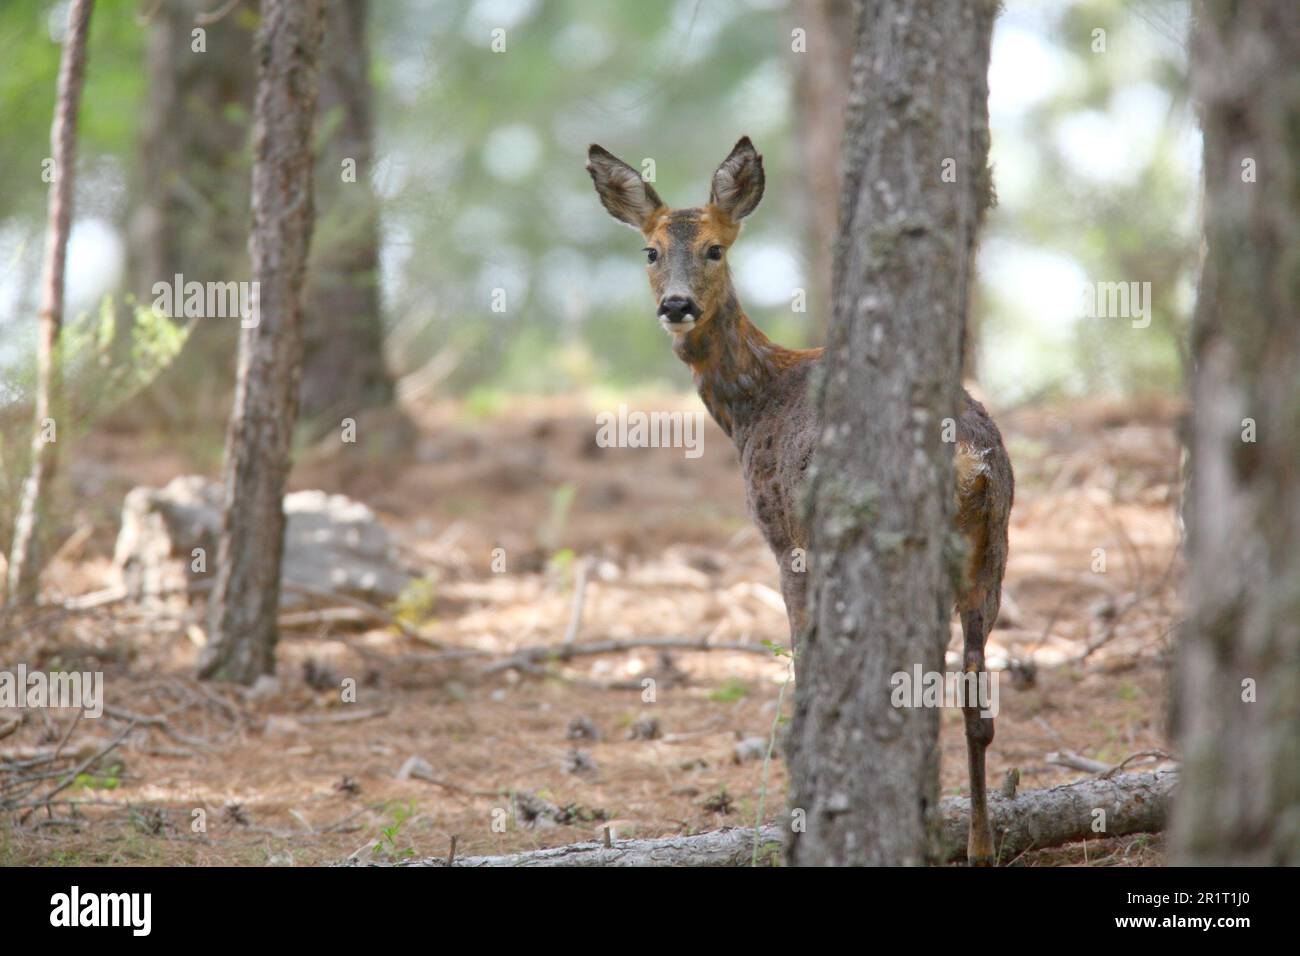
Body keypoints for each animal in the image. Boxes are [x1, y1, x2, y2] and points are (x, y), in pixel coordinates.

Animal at [586, 136, 1014, 865]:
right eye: (650, 251)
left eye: (715, 249)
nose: (676, 306)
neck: (752, 402)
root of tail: (970, 463)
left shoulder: (783, 537)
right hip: (995, 553)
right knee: (975, 707)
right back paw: (980, 847)